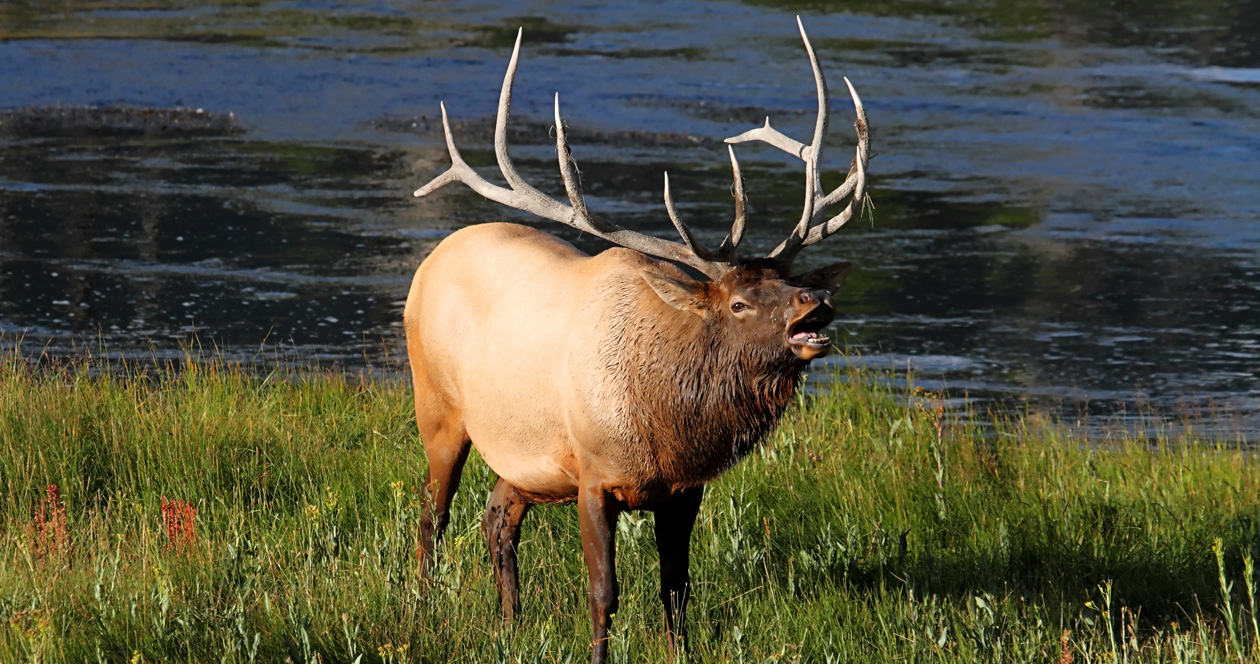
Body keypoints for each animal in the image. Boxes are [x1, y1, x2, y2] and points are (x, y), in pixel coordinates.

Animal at [405, 18, 869, 663]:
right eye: (739, 303)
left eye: (789, 282)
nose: (816, 301)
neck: (668, 427)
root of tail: (432, 260)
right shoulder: (593, 477)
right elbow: (604, 593)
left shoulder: (684, 490)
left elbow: (676, 588)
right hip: (439, 410)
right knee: (433, 515)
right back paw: (424, 608)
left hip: (522, 454)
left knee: (497, 517)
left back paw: (510, 626)